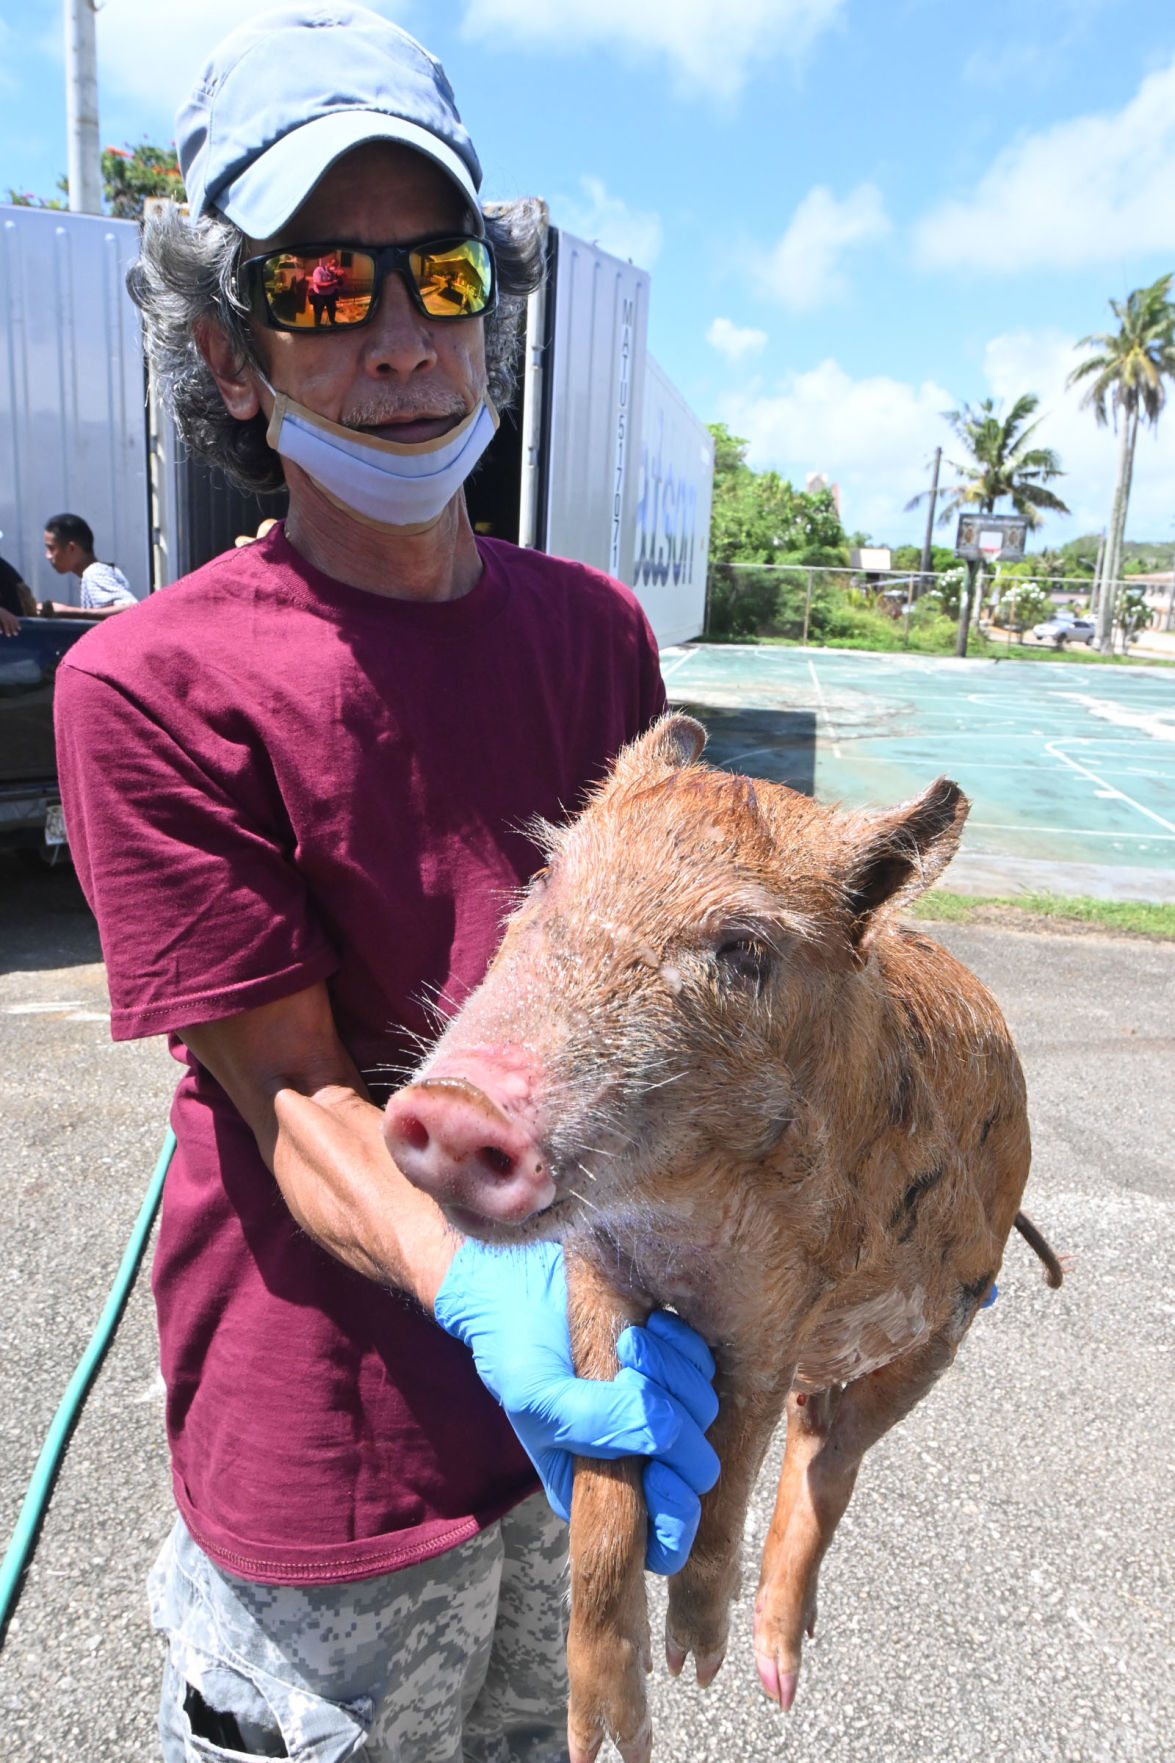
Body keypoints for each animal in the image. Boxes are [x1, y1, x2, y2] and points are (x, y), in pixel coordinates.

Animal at [384, 713, 1062, 1763]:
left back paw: (772, 1679)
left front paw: (692, 1667)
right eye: (546, 879)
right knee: (815, 1437)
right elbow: (603, 1498)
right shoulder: (598, 1276)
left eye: (741, 947)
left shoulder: (781, 1301)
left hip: (946, 1320)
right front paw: (606, 1738)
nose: (460, 1107)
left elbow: (732, 1455)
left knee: (825, 1459)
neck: (676, 1220)